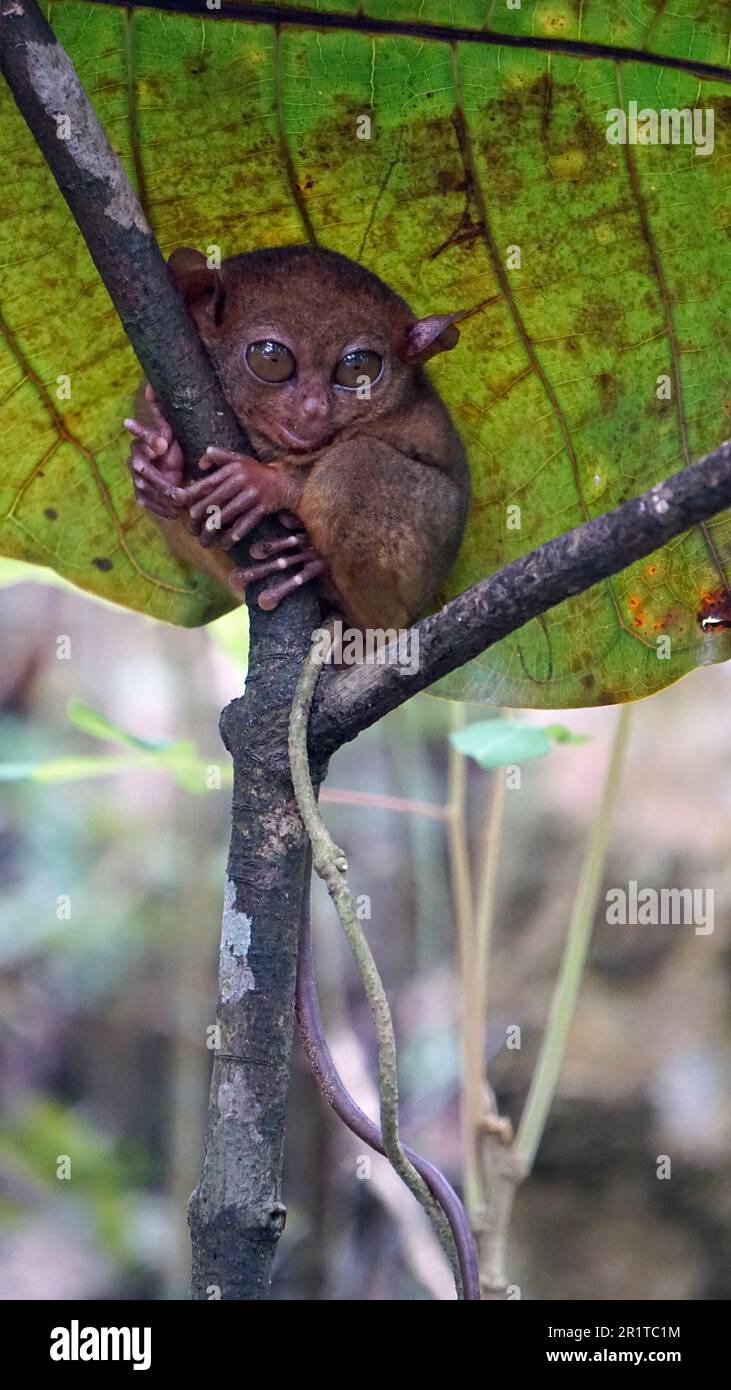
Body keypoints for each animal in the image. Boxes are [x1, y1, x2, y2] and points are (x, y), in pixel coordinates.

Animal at [124, 245, 470, 631]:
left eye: (358, 370)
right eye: (272, 359)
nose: (314, 409)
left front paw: (260, 483)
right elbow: (149, 413)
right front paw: (157, 463)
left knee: (352, 465)